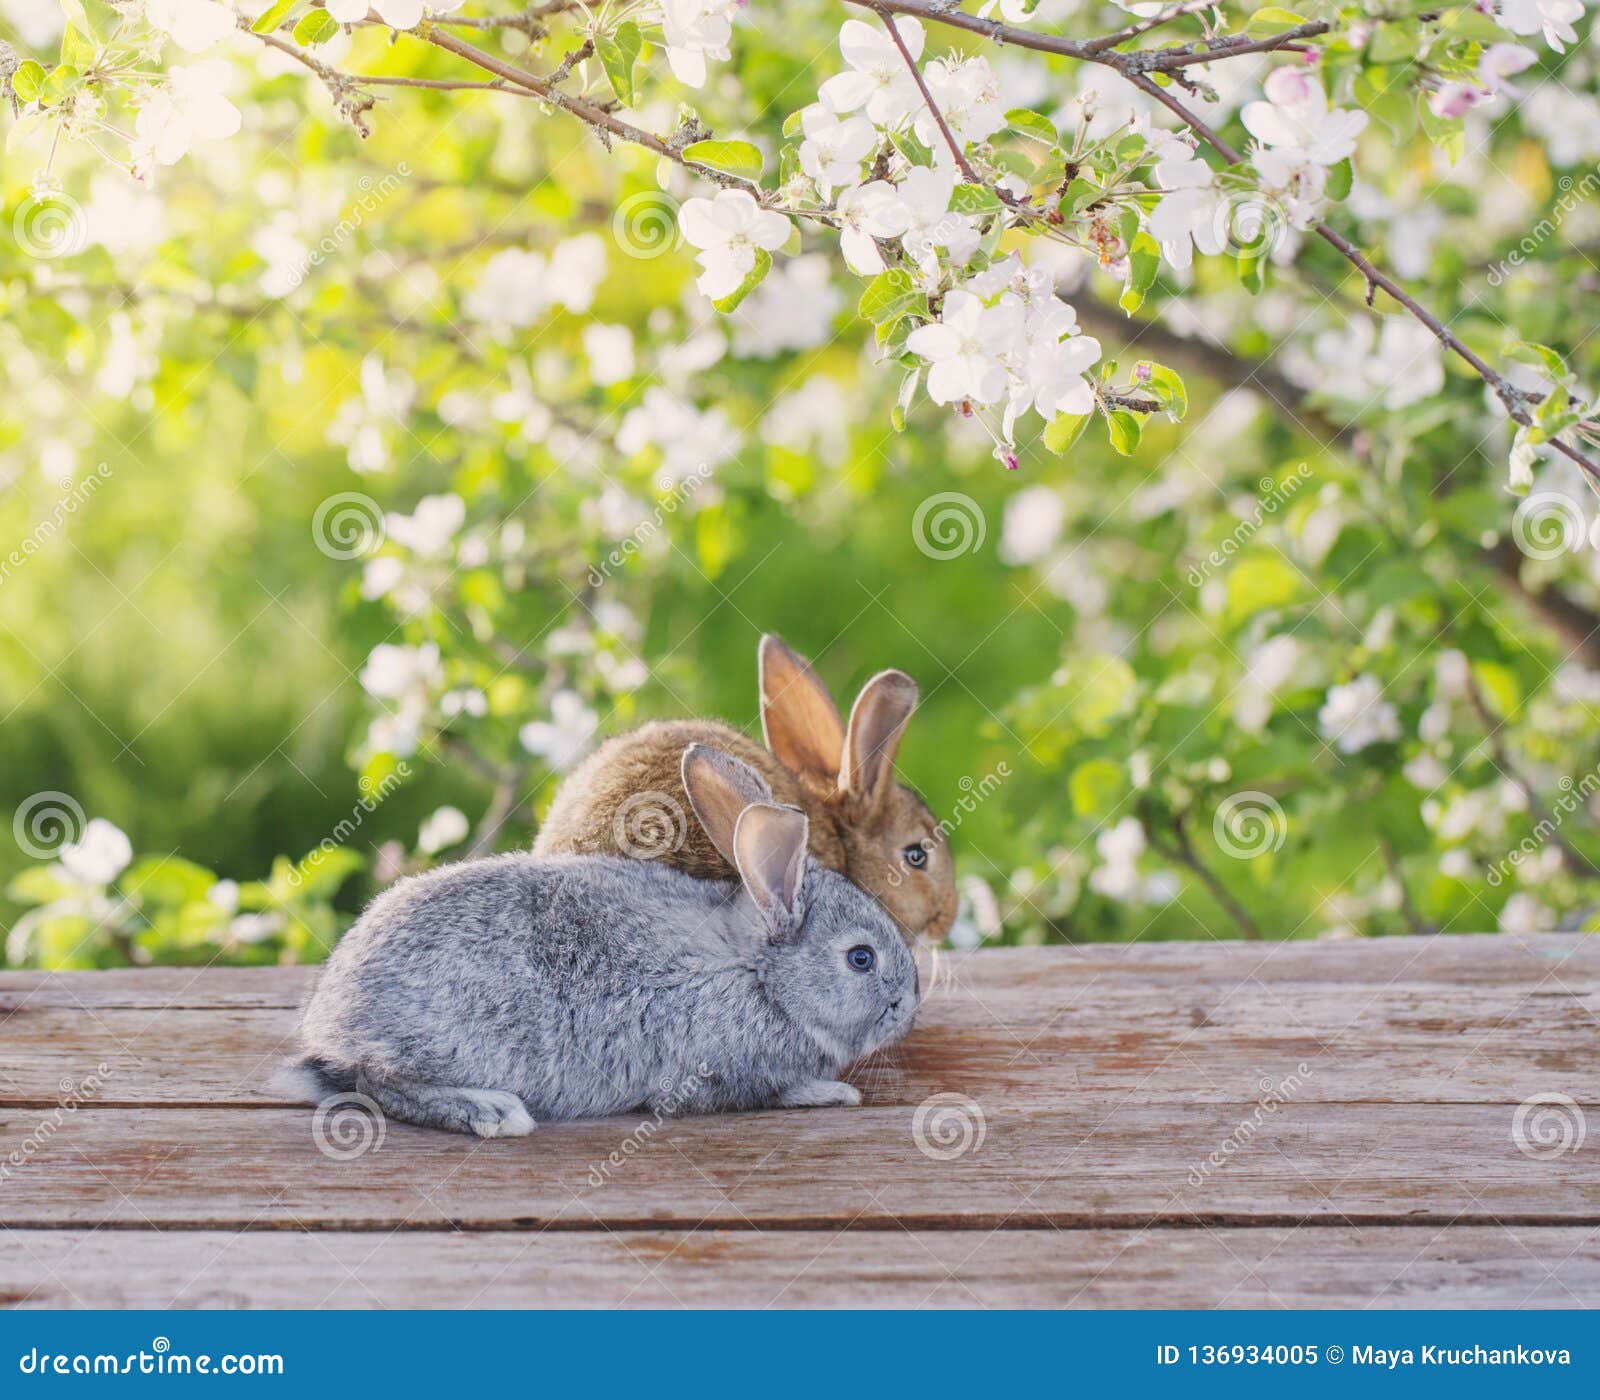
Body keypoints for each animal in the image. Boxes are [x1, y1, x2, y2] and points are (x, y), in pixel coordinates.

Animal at [285, 744, 921, 1138]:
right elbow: (770, 1091)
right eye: (860, 958)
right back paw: (490, 1111)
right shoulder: (715, 1071)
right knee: (377, 1081)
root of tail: (331, 1019)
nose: (909, 1006)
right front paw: (831, 1093)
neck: (759, 973)